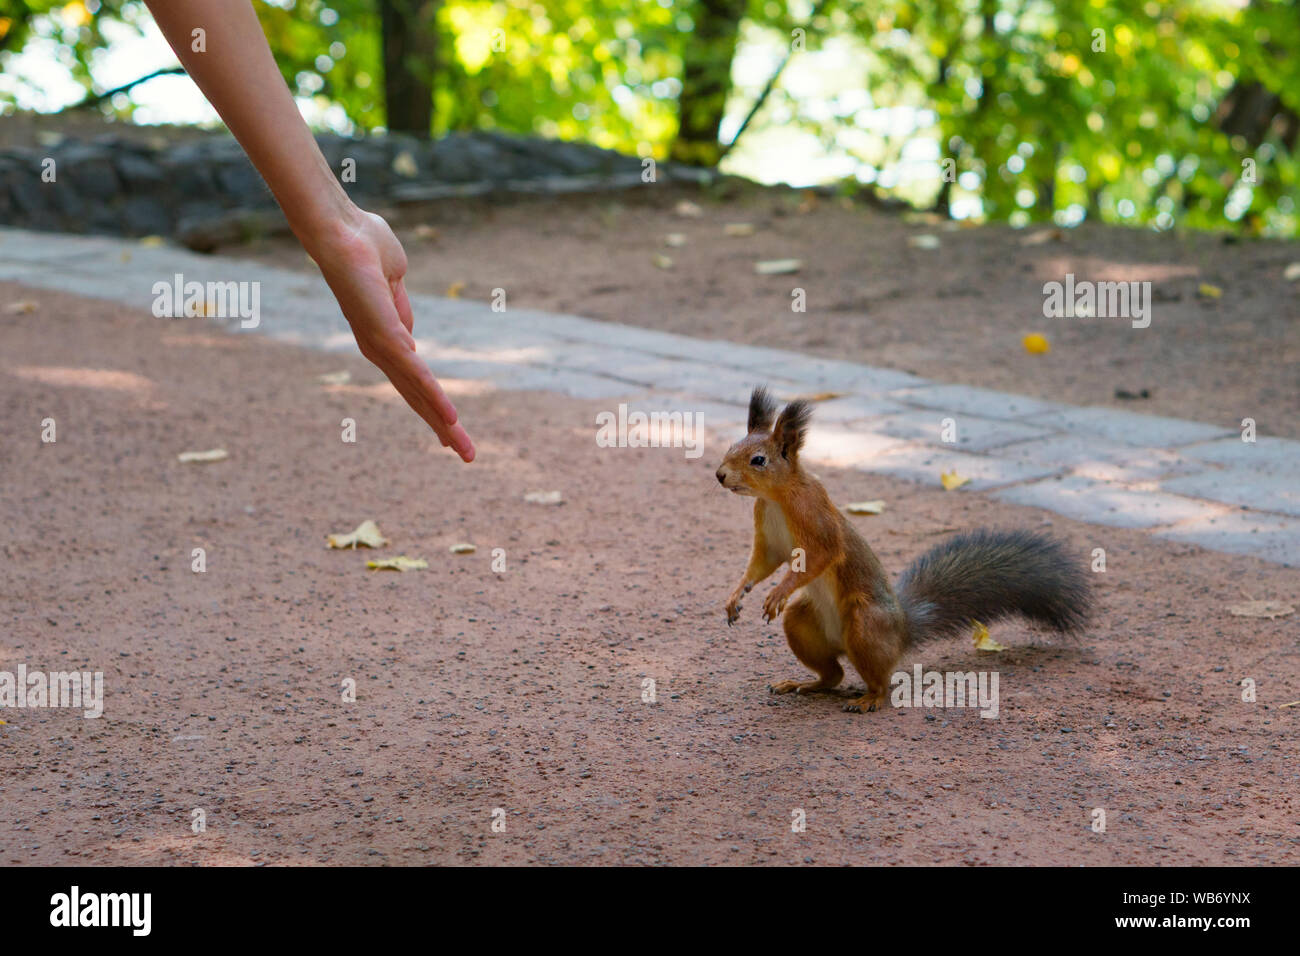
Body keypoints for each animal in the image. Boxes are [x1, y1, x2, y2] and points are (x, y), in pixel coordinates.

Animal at [716, 387, 1091, 713]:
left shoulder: (817, 521)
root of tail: (902, 631)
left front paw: (779, 591)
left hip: (864, 624)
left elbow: (820, 556)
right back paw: (804, 684)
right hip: (803, 623)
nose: (720, 475)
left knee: (880, 682)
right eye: (732, 447)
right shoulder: (768, 534)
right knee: (834, 674)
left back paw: (869, 699)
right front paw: (737, 595)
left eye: (758, 460)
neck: (776, 498)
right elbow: (761, 564)